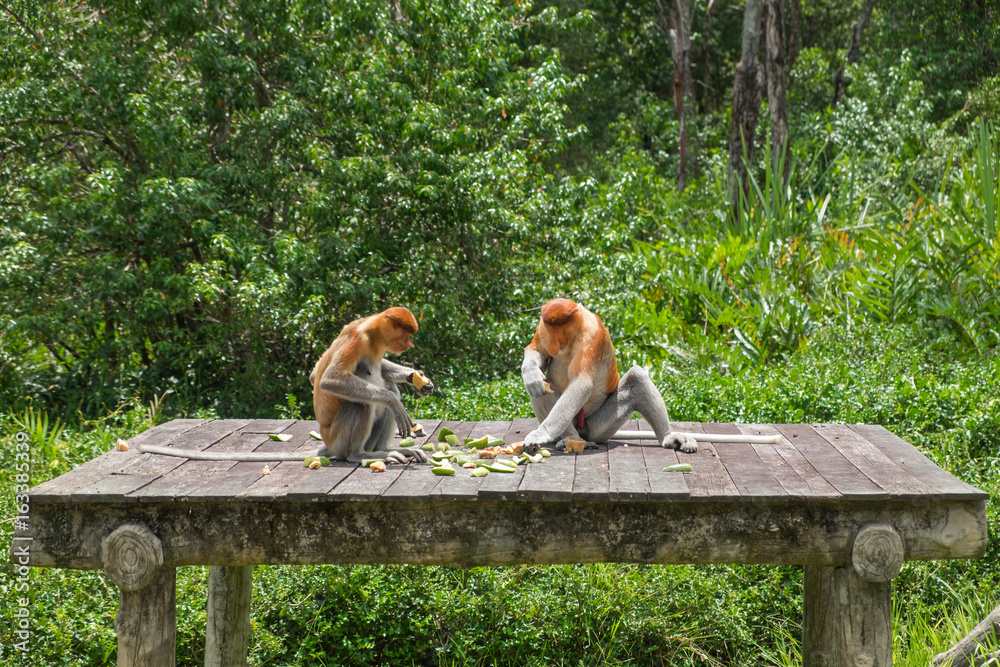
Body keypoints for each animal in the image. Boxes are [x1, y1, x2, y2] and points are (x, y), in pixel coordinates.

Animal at [521, 299, 779, 452]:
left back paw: (669, 438)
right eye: (550, 329)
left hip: (597, 426)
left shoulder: (592, 336)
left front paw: (540, 434)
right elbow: (536, 352)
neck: (576, 330)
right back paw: (568, 437)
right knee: (541, 387)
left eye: (560, 330)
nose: (553, 344)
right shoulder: (541, 329)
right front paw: (531, 373)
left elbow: (582, 383)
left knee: (636, 378)